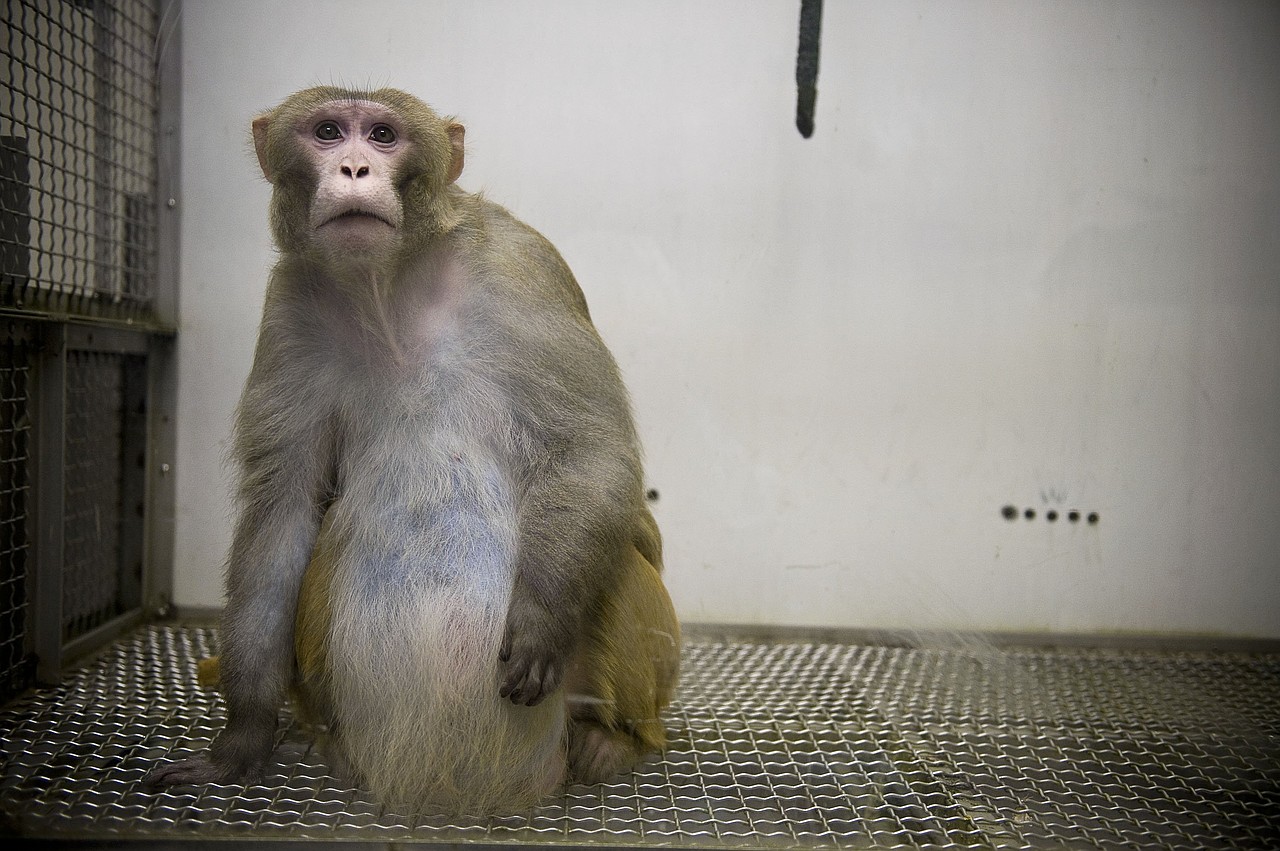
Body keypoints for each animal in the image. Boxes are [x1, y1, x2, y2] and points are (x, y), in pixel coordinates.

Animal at [148, 86, 680, 813]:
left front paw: (541, 618)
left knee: (617, 555)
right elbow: (283, 513)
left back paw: (611, 740)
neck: (386, 286)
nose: (352, 168)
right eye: (327, 132)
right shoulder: (289, 308)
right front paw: (242, 736)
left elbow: (589, 451)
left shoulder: (524, 267)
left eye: (382, 135)